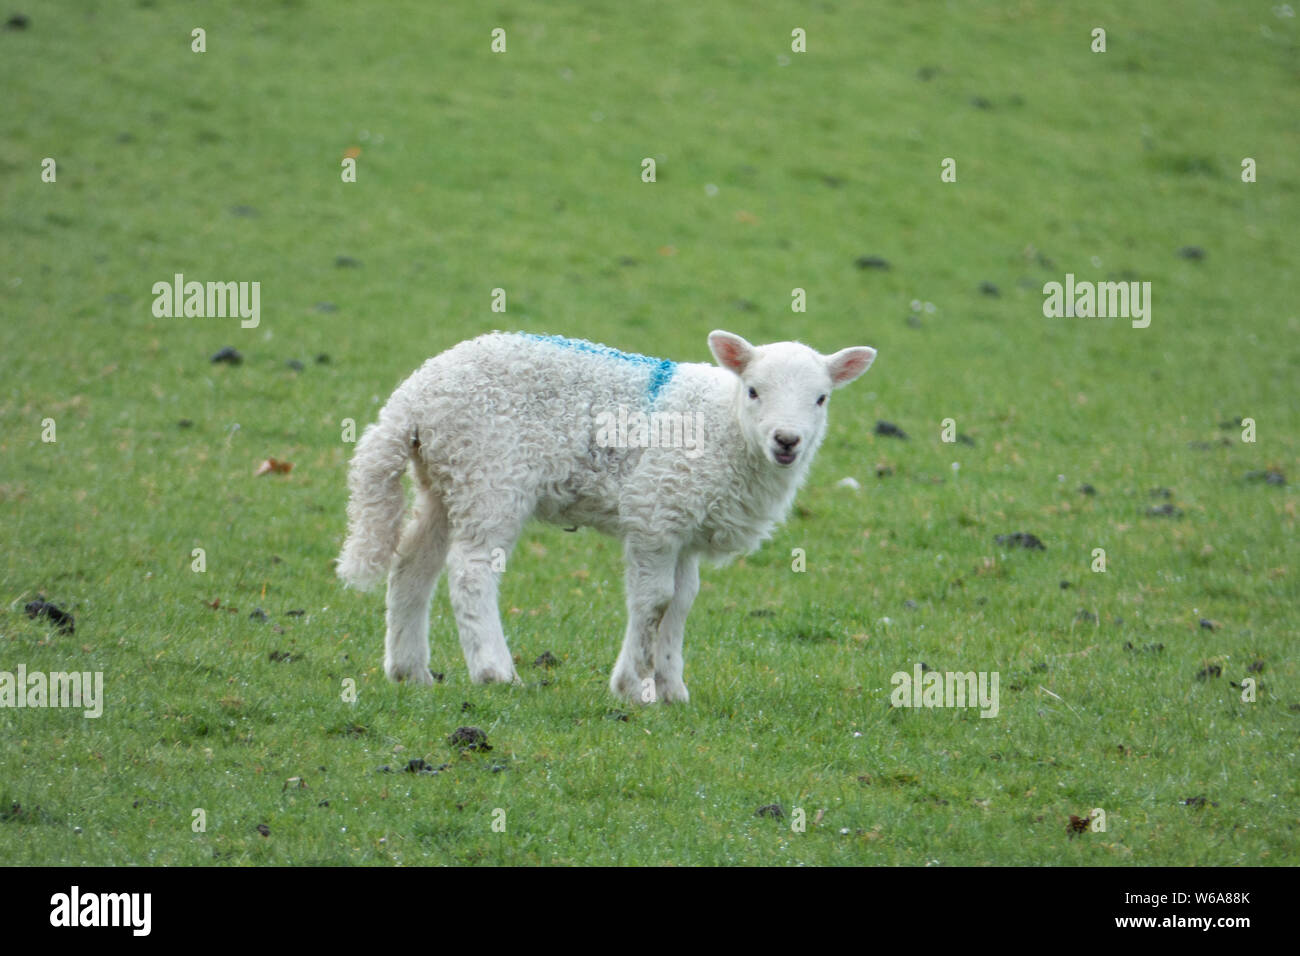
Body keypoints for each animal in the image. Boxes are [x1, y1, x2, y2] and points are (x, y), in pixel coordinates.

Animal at [337, 330, 876, 702]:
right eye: (754, 391)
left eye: (821, 398)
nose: (787, 441)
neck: (726, 427)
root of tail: (415, 395)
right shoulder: (656, 511)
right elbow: (656, 601)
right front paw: (633, 685)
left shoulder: (684, 524)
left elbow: (682, 603)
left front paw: (672, 688)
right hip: (490, 473)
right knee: (470, 571)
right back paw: (496, 672)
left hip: (444, 478)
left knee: (413, 562)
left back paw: (410, 671)